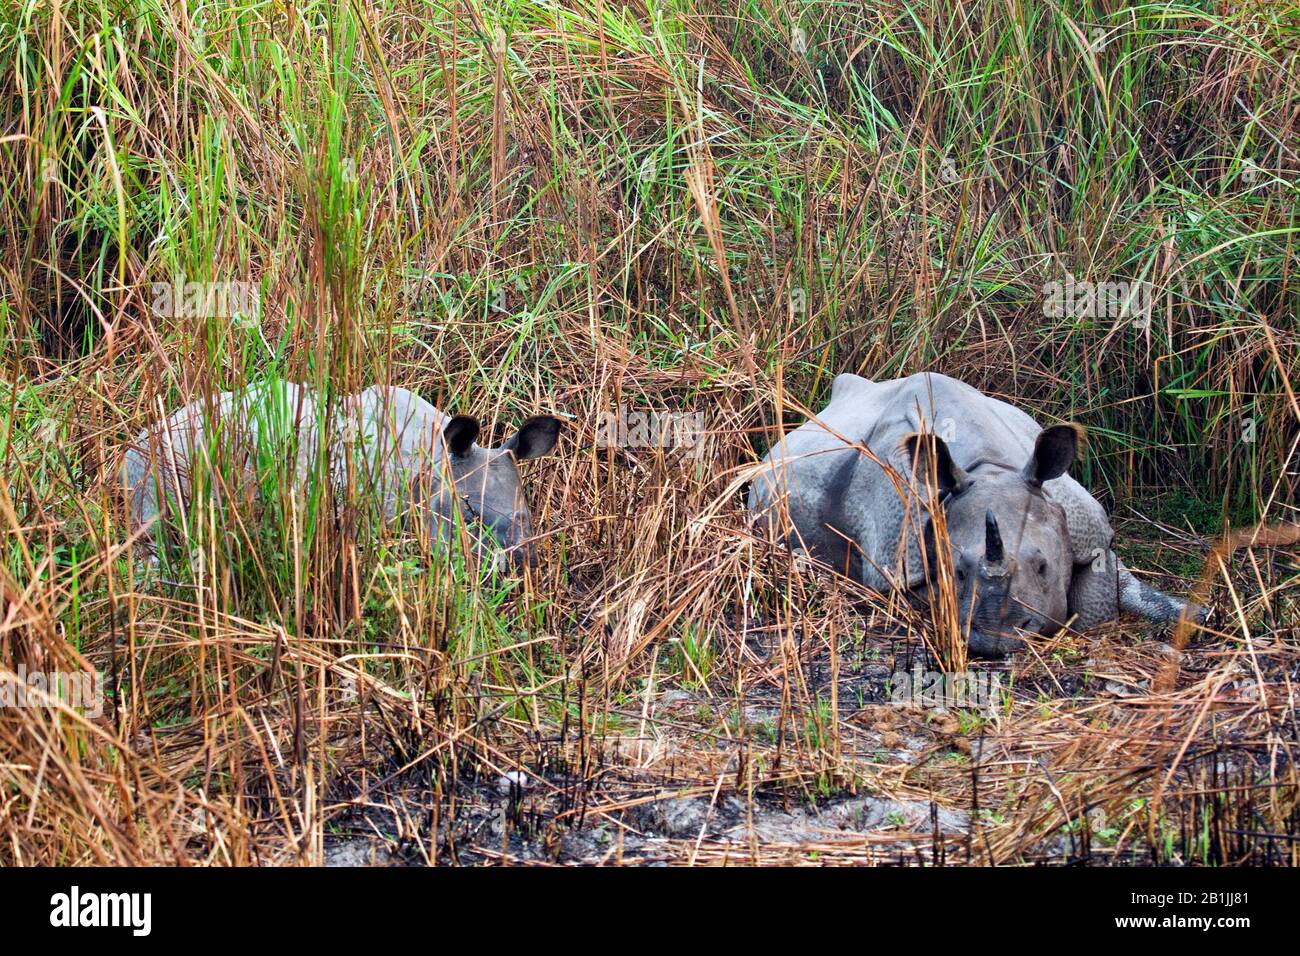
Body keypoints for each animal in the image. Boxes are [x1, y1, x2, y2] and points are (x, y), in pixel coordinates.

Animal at [121, 382, 562, 570]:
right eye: (469, 514)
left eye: (528, 516)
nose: (523, 565)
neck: (433, 465)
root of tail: (131, 446)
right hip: (154, 469)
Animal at [748, 372, 1201, 656]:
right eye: (958, 572)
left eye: (1043, 568)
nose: (996, 641)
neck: (991, 469)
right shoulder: (897, 561)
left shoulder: (1088, 532)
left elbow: (1095, 602)